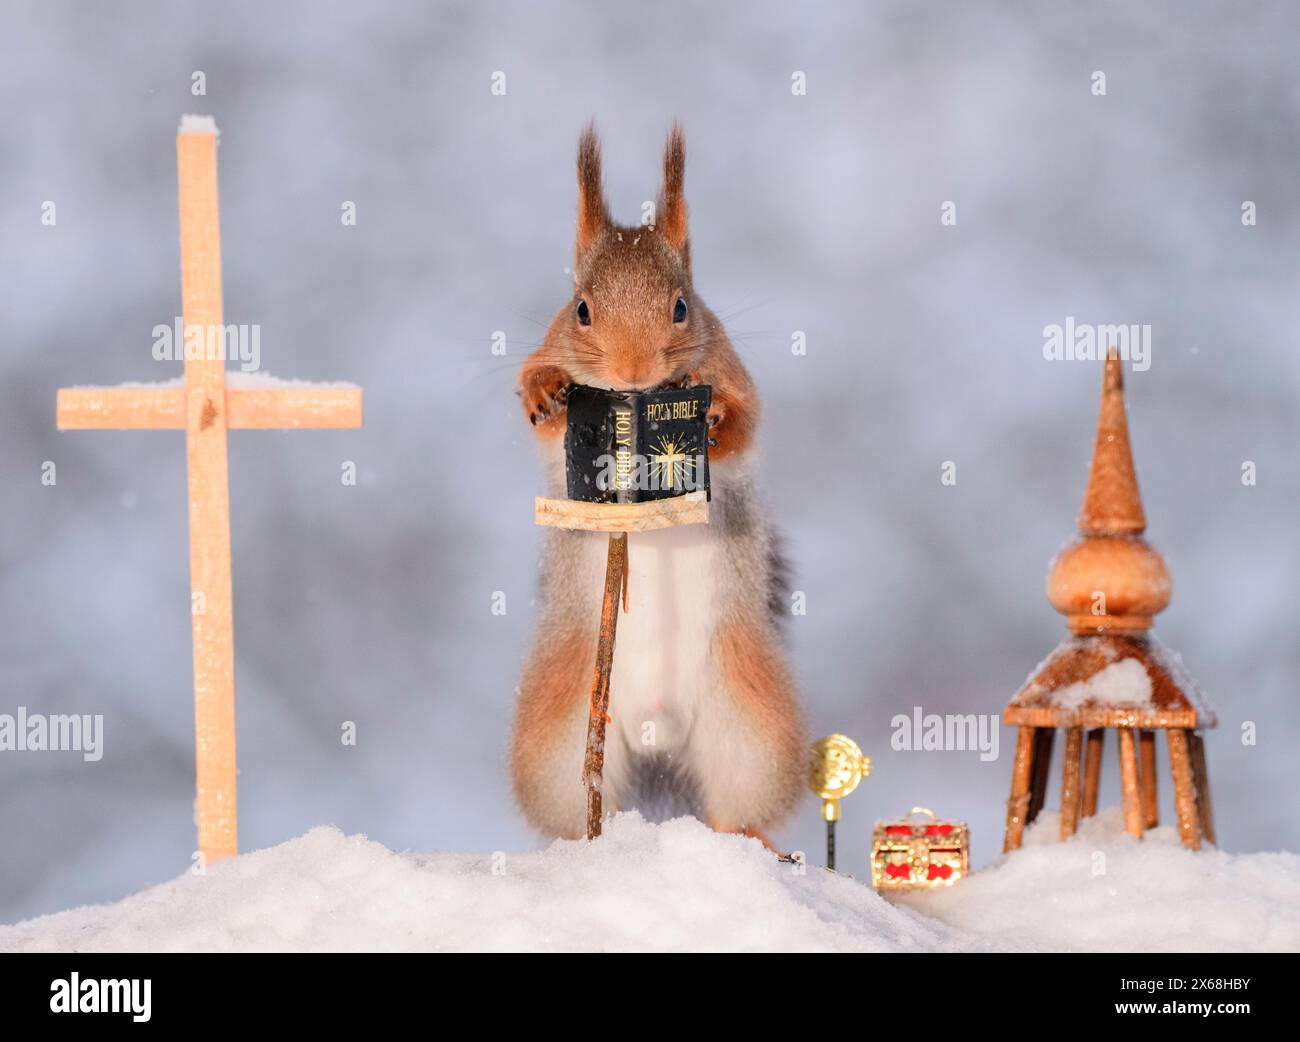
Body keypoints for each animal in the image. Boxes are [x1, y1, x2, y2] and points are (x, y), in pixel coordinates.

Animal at [511, 124, 806, 846]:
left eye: (681, 306)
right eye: (581, 310)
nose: (633, 368)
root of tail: (657, 726)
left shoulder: (730, 365)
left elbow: (745, 421)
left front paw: (717, 419)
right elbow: (541, 418)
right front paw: (544, 395)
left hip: (748, 721)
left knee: (738, 799)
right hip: (560, 729)